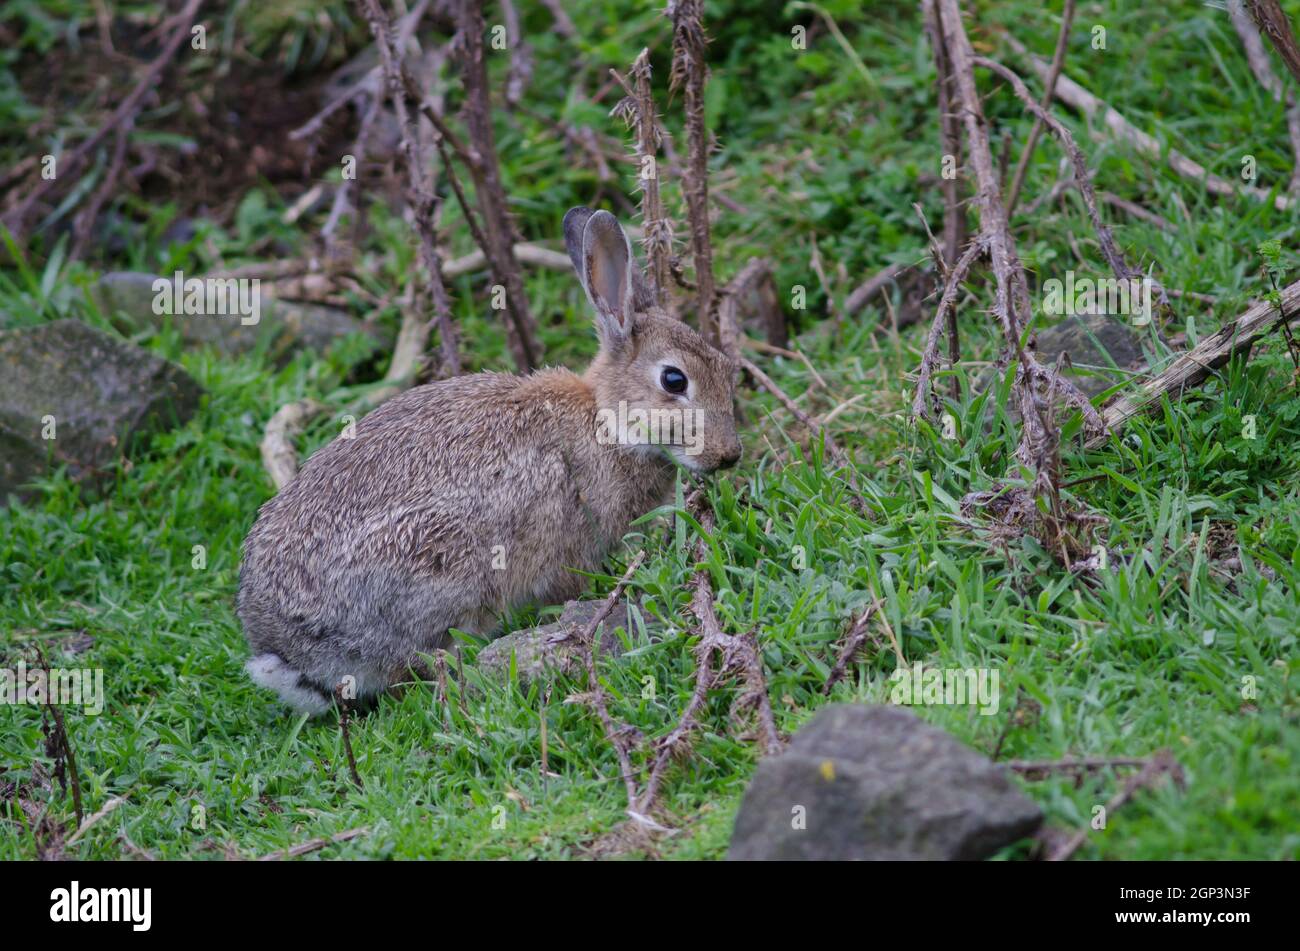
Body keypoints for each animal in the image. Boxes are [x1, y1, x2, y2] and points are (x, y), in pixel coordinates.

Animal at [238, 208, 741, 714]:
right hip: (441, 564)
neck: (607, 420)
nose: (729, 454)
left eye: (724, 368)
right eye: (674, 380)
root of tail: (286, 653)